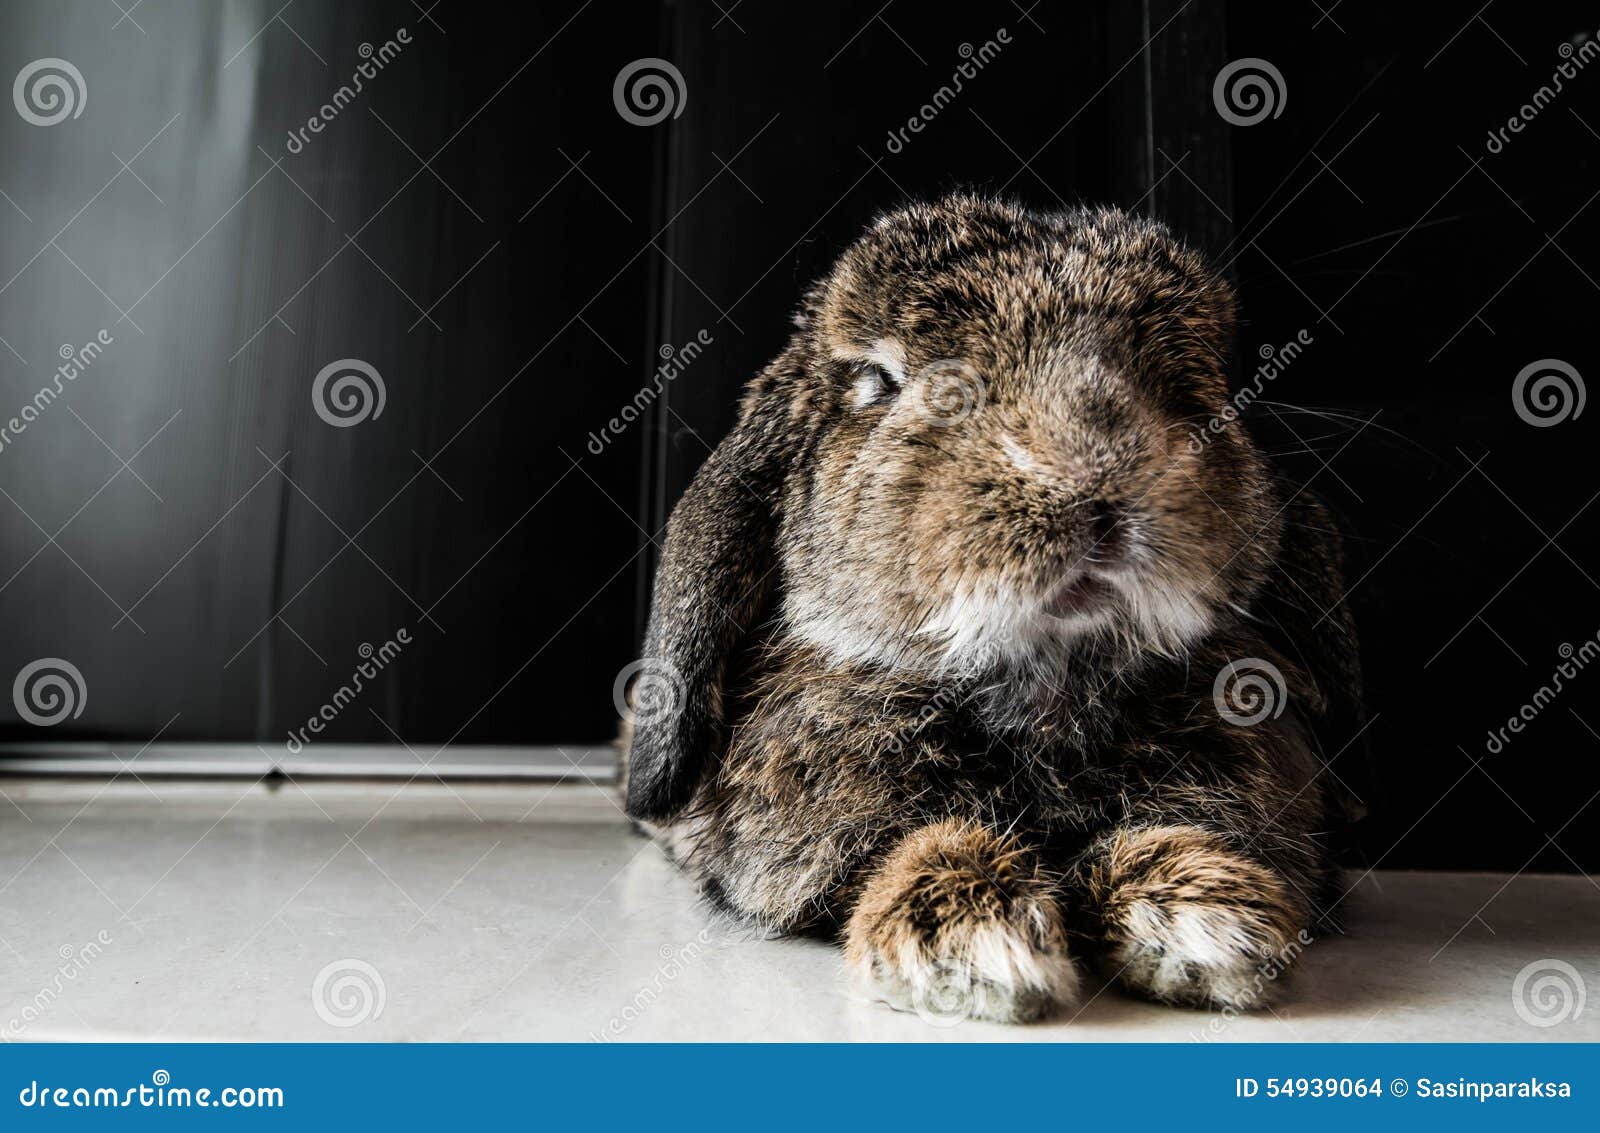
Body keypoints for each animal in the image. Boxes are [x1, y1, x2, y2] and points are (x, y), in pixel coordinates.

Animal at [622, 193, 1364, 1024]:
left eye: (1188, 380)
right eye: (880, 380)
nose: (1093, 468)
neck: (1043, 692)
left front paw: (1210, 919)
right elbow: (897, 848)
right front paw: (975, 940)